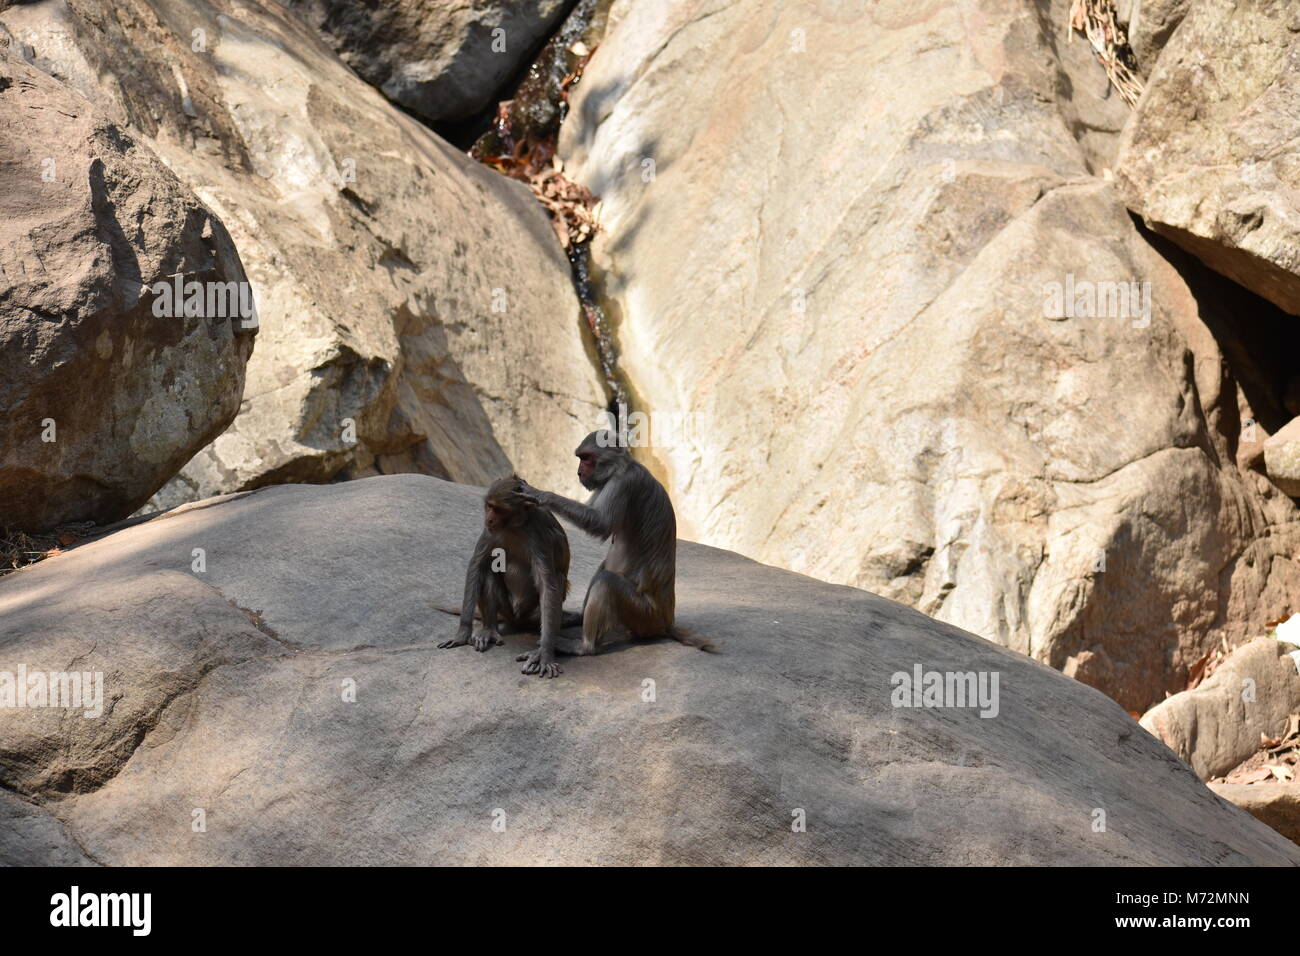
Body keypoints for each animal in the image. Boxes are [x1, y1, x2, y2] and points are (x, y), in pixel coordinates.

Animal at [439, 476, 572, 676]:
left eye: (497, 509)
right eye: (488, 506)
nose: (489, 518)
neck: (515, 526)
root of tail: (515, 619)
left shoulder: (539, 535)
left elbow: (548, 585)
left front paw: (545, 653)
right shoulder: (490, 531)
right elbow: (477, 565)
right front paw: (462, 633)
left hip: (530, 614)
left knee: (557, 579)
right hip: (506, 608)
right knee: (489, 569)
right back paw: (489, 629)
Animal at [517, 431, 722, 660]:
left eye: (586, 458)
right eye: (580, 457)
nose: (579, 471)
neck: (620, 466)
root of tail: (666, 621)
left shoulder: (623, 483)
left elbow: (600, 523)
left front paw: (541, 494)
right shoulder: (604, 484)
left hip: (644, 614)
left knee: (606, 581)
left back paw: (585, 647)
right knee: (603, 569)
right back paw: (577, 618)